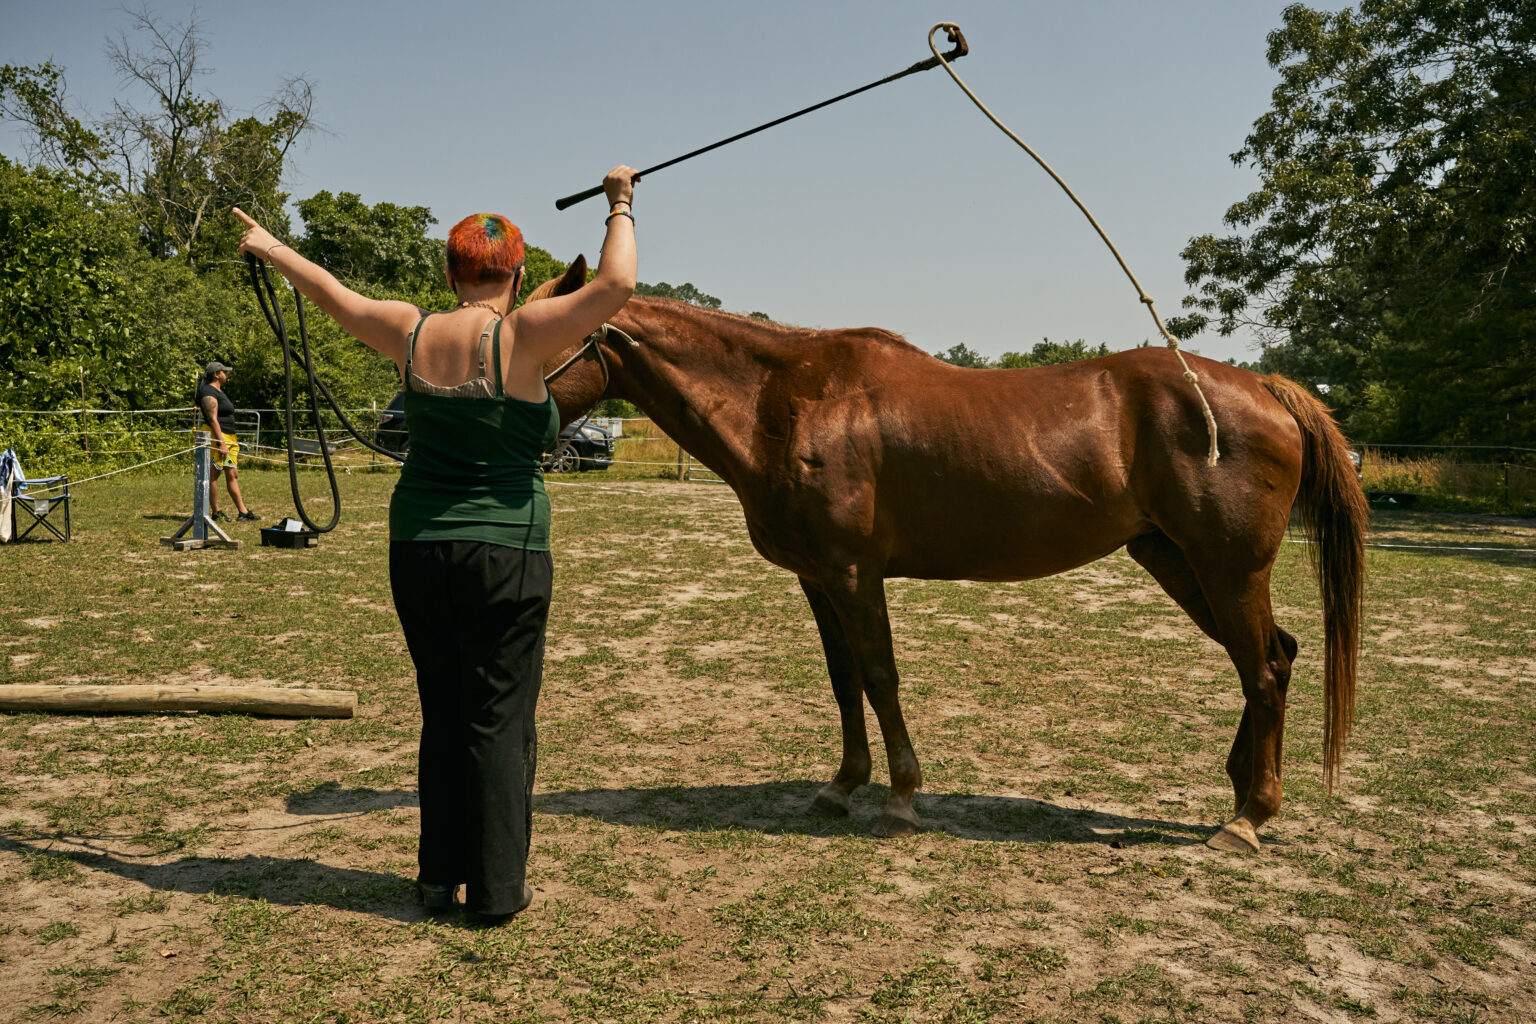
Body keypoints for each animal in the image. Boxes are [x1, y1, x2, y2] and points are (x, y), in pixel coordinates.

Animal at [533, 258, 1368, 853]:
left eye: (532, 333)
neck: (791, 402)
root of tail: (1264, 386)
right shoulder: (816, 580)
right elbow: (843, 683)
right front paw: (842, 787)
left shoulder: (853, 573)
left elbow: (880, 678)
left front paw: (901, 799)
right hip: (1176, 561)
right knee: (1275, 657)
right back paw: (1241, 790)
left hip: (1226, 568)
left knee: (1263, 669)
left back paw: (1249, 817)